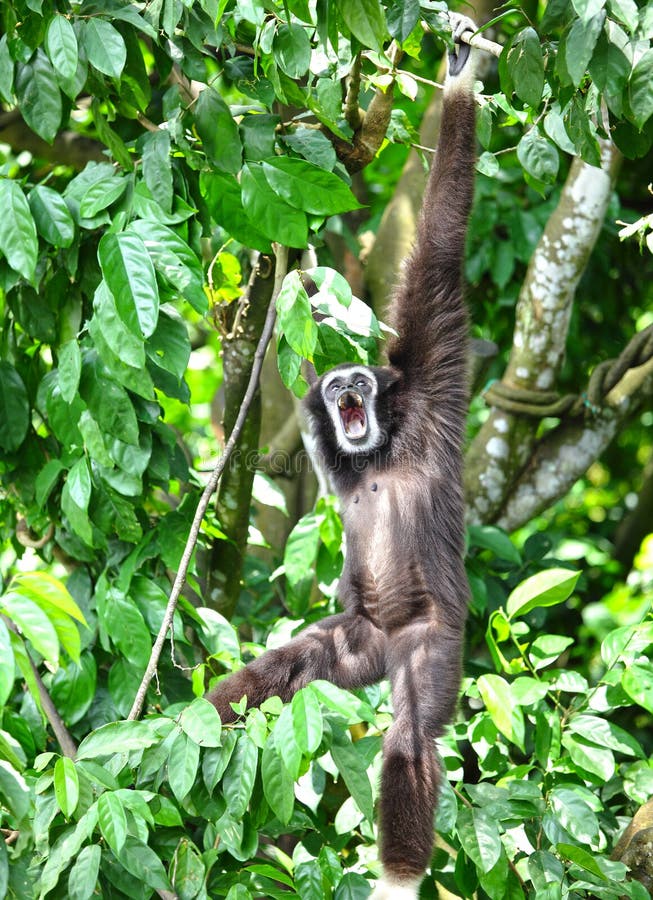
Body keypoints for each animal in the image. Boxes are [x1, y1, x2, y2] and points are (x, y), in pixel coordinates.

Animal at [206, 15, 478, 899]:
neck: (381, 449)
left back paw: (397, 874)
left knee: (409, 731)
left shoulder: (429, 388)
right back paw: (179, 725)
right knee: (291, 664)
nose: (349, 387)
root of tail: (383, 643)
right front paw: (289, 271)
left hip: (424, 640)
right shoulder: (335, 453)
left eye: (362, 383)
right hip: (354, 642)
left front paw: (462, 79)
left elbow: (437, 255)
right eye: (339, 392)